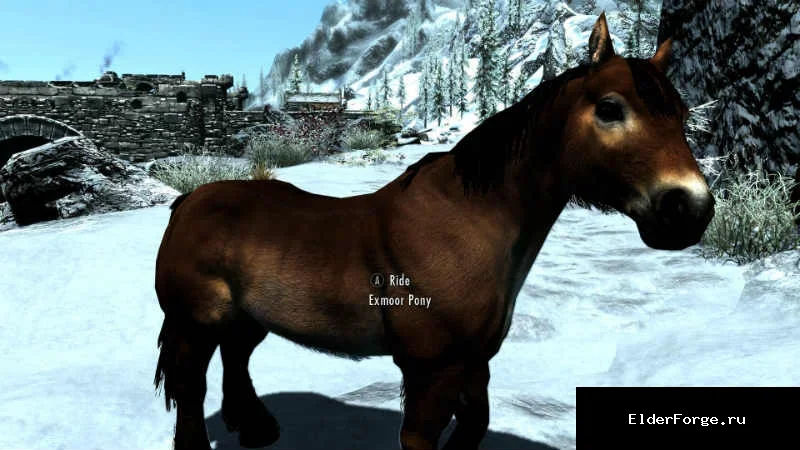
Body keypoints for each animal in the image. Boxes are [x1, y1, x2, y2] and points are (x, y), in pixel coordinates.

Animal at [154, 14, 714, 450]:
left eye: (683, 114)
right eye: (610, 108)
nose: (689, 208)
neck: (467, 225)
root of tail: (188, 202)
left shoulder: (474, 363)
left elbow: (475, 426)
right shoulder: (430, 371)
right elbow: (424, 435)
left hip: (247, 319)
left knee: (236, 360)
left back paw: (257, 430)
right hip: (194, 323)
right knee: (192, 387)